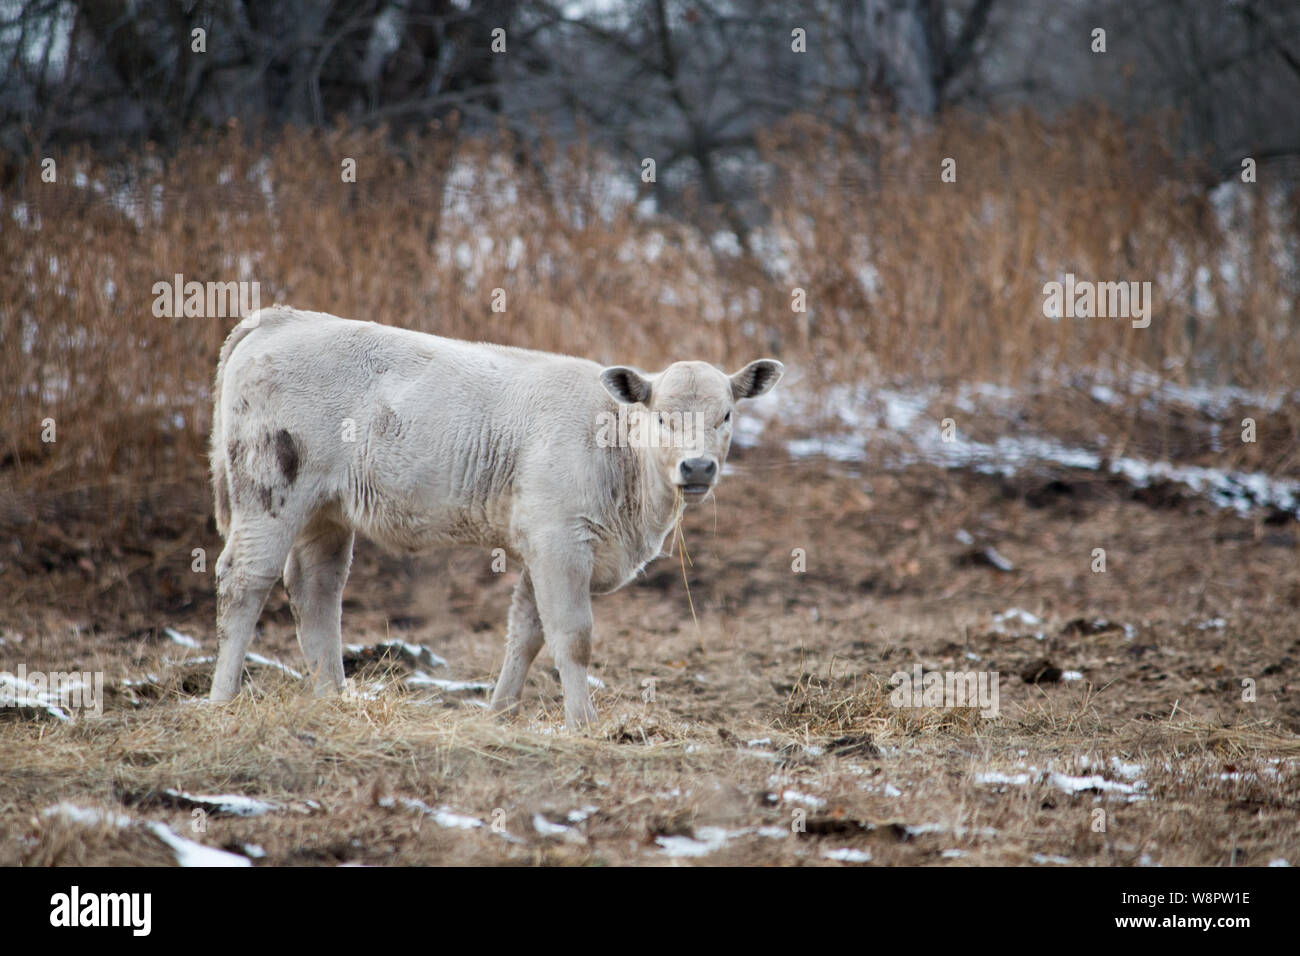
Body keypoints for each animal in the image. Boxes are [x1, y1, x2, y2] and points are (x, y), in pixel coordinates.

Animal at [207, 306, 783, 727]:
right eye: (661, 418)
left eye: (725, 415)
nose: (698, 465)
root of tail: (282, 317)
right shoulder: (559, 539)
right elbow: (572, 636)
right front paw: (585, 724)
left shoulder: (539, 545)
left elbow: (527, 633)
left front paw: (501, 711)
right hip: (269, 488)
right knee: (245, 580)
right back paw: (221, 700)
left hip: (326, 511)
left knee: (316, 591)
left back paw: (334, 697)